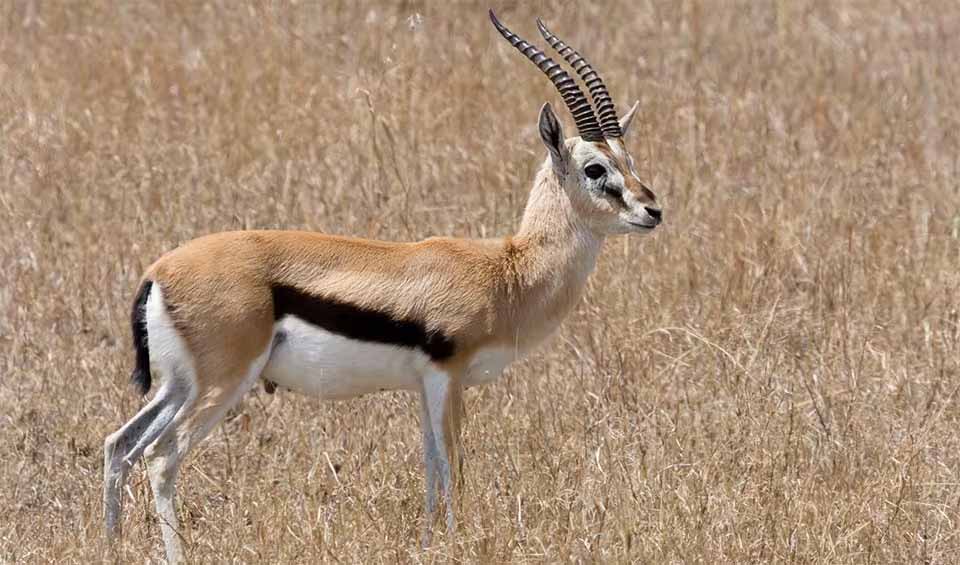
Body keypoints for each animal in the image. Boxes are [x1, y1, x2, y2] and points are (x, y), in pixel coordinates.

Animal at [103, 11, 662, 562]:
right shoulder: (446, 378)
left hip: (180, 384)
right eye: (596, 168)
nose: (652, 210)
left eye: (631, 162)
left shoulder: (424, 386)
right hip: (223, 382)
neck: (508, 271)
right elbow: (452, 469)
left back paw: (111, 545)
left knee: (120, 444)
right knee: (161, 456)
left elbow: (432, 470)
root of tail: (159, 272)